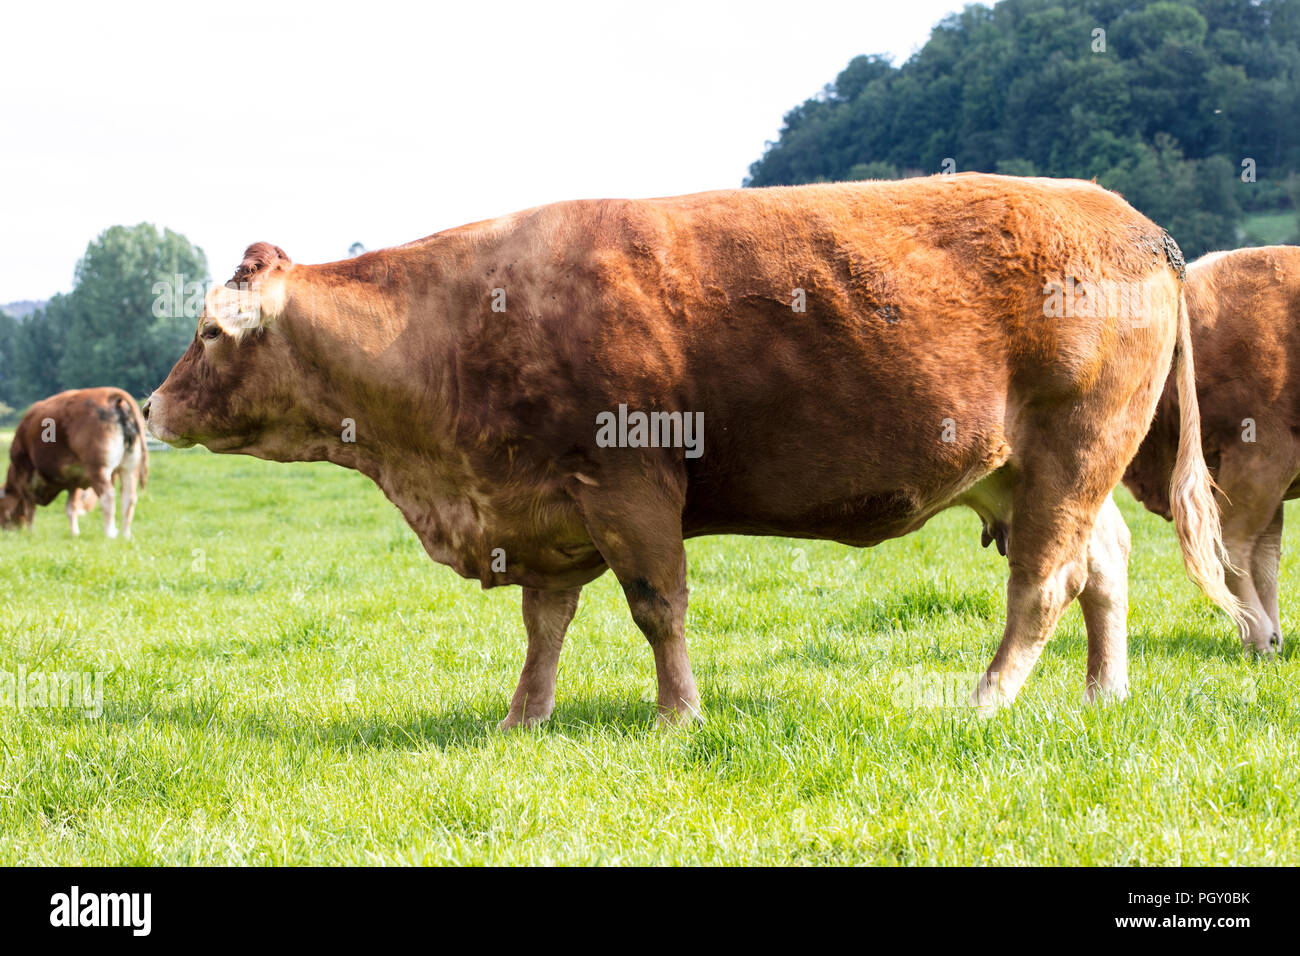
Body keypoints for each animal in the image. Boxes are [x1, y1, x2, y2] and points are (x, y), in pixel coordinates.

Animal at [1, 387, 148, 538]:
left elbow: (30, 509)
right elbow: (70, 508)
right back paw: (126, 535)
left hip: (98, 469)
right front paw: (74, 533)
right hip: (129, 468)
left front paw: (30, 533)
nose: (5, 529)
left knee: (108, 497)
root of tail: (108, 394)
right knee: (128, 498)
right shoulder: (74, 482)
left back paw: (110, 533)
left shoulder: (25, 476)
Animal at [144, 173, 1244, 727]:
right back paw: (1101, 692)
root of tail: (1131, 219)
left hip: (1074, 448)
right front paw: (523, 717)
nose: (150, 406)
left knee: (1042, 586)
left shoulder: (628, 484)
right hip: (1041, 469)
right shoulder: (544, 508)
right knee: (1102, 569)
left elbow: (656, 606)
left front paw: (678, 712)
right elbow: (545, 624)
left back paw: (983, 700)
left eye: (206, 334)